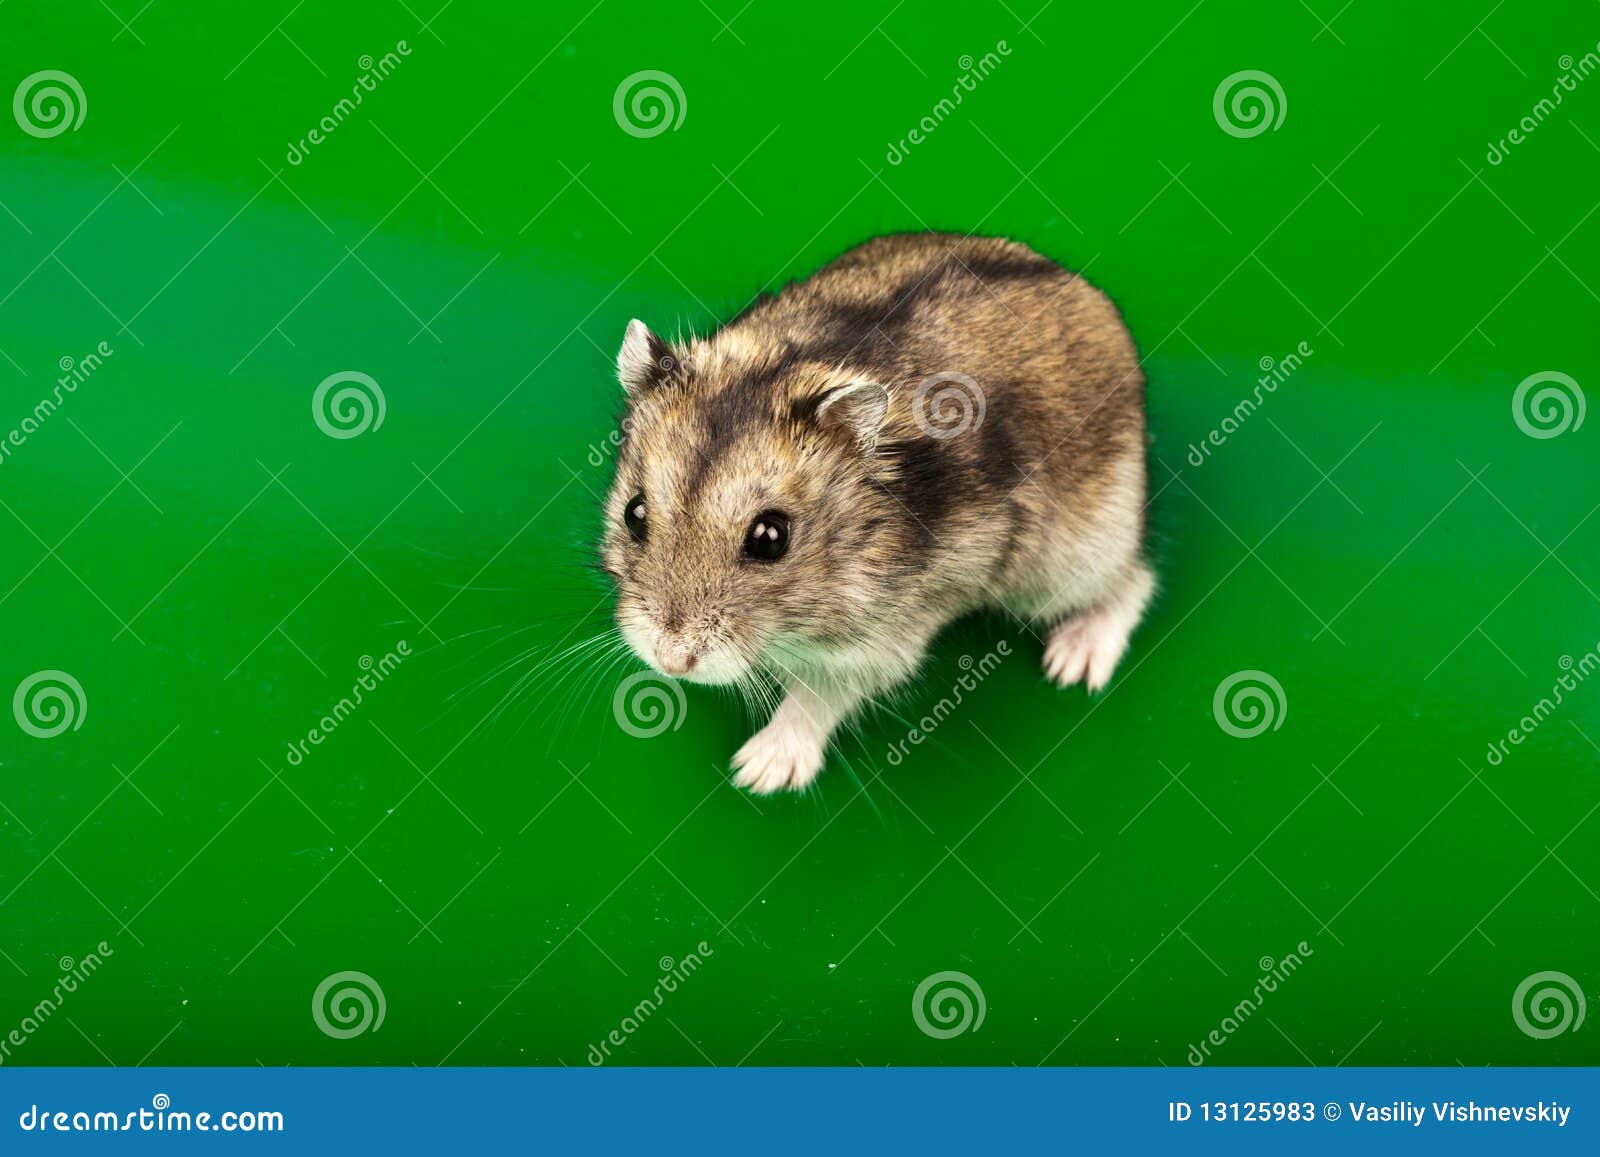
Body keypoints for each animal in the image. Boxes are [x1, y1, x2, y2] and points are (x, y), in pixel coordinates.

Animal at [600, 232, 1153, 794]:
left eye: (770, 538)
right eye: (634, 514)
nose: (672, 663)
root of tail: (1086, 292)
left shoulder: (886, 639)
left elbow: (821, 694)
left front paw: (757, 773)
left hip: (1071, 559)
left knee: (1134, 581)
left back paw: (1074, 664)